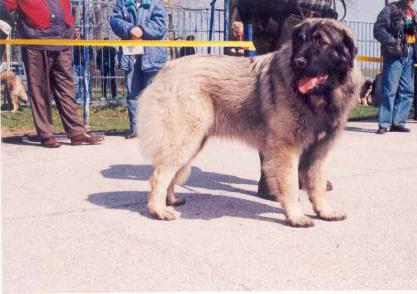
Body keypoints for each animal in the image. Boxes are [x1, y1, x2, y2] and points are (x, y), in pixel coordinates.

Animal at [136, 19, 360, 227]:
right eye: (300, 41)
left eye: (321, 42)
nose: (298, 61)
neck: (320, 96)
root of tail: (166, 69)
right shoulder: (286, 149)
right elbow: (289, 185)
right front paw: (296, 216)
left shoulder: (319, 151)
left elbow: (317, 184)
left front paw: (325, 211)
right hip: (185, 137)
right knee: (160, 175)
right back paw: (158, 210)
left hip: (193, 141)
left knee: (171, 173)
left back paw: (171, 200)